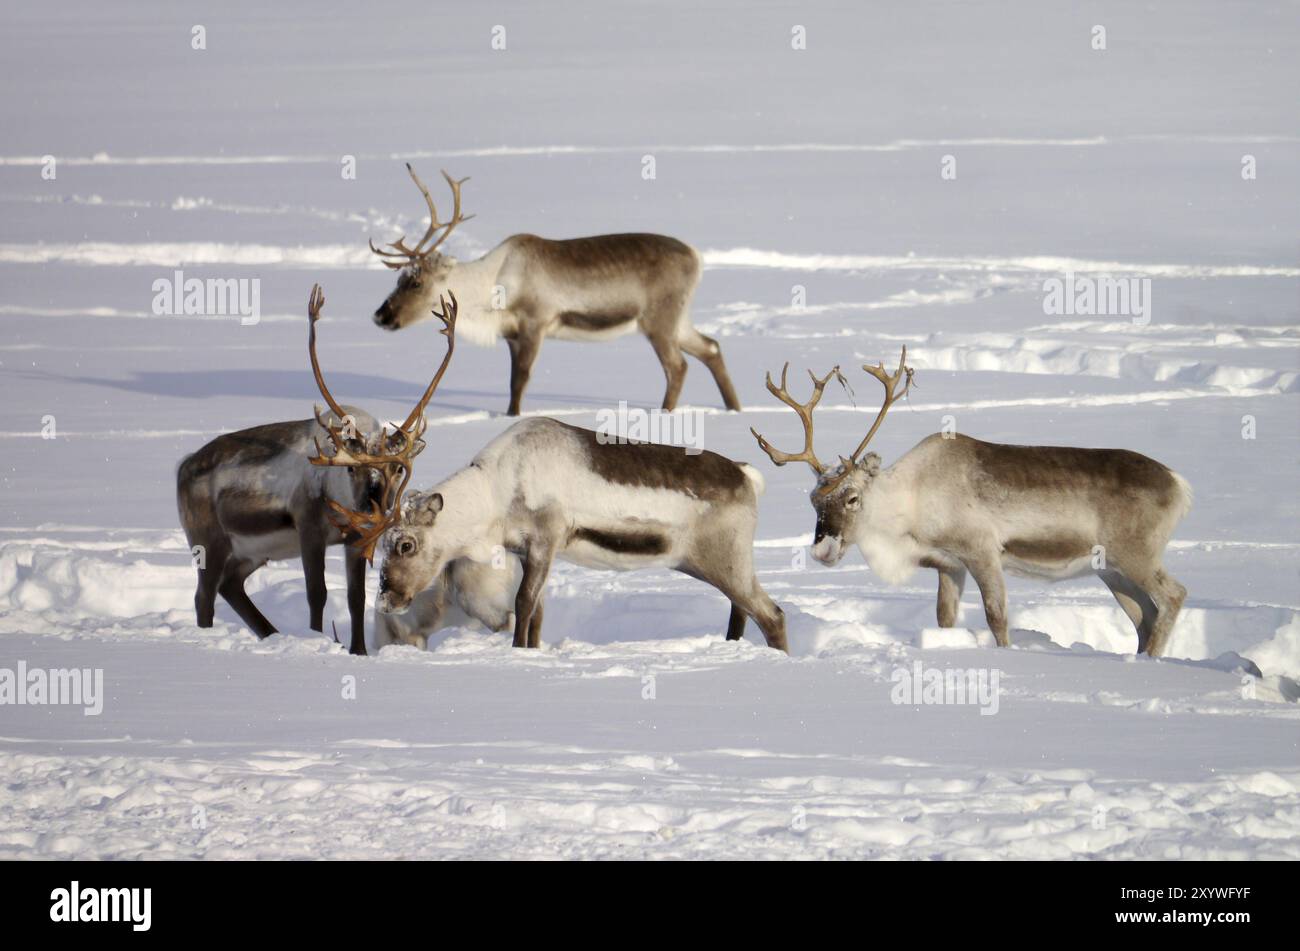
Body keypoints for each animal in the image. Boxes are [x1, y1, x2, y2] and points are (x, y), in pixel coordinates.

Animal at [175, 284, 456, 656]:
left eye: (397, 468)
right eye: (351, 470)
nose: (371, 510)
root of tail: (183, 466)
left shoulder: (355, 540)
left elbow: (356, 597)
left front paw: (358, 651)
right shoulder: (308, 527)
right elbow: (316, 593)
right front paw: (316, 638)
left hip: (253, 551)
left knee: (231, 586)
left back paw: (271, 633)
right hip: (207, 540)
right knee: (204, 595)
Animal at [357, 417, 788, 652]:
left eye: (406, 544)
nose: (386, 600)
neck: (496, 492)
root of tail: (745, 474)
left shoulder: (545, 540)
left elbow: (524, 605)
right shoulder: (525, 551)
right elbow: (537, 613)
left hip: (725, 561)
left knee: (772, 614)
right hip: (719, 565)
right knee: (742, 610)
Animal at [368, 163, 742, 417]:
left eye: (416, 282)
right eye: (398, 279)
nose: (380, 315)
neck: (491, 289)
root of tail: (697, 257)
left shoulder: (536, 323)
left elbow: (520, 381)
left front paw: (512, 418)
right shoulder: (512, 335)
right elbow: (512, 382)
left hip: (658, 320)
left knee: (678, 366)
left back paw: (667, 414)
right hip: (678, 319)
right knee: (711, 347)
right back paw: (734, 409)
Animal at [750, 348, 1193, 657]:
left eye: (853, 497)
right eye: (813, 501)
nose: (822, 550)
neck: (909, 504)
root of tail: (1179, 484)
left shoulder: (983, 552)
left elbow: (997, 618)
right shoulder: (949, 565)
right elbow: (944, 618)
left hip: (1137, 555)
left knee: (1173, 596)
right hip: (1111, 570)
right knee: (1144, 617)